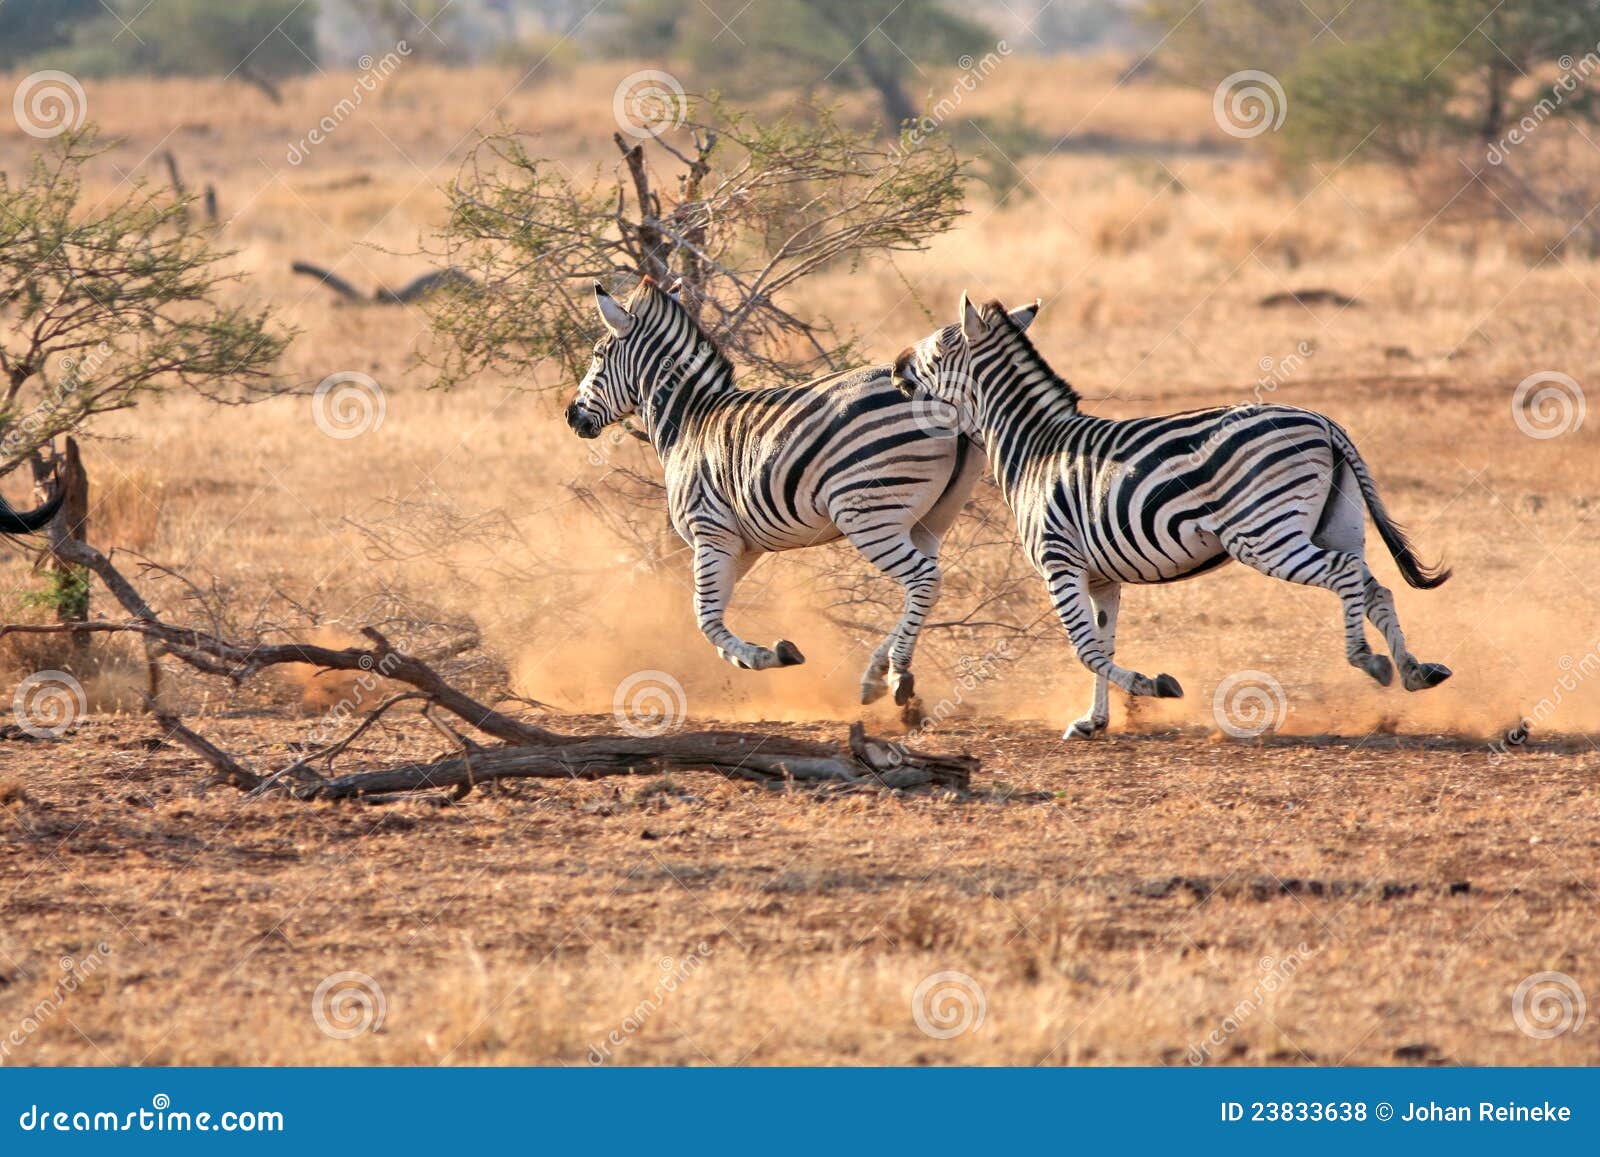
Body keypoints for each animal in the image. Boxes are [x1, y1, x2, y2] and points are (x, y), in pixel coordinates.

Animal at [564, 277, 1040, 705]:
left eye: (598, 354)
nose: (571, 416)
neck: (689, 422)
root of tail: (945, 400)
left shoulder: (710, 533)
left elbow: (705, 618)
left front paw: (766, 656)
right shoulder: (743, 546)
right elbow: (708, 616)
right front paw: (754, 656)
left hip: (866, 514)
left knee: (924, 578)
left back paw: (899, 675)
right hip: (931, 518)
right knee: (925, 585)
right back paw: (878, 672)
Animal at [892, 293, 1452, 739]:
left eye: (937, 350)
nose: (895, 368)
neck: (1034, 448)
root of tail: (1324, 423)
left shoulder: (1058, 560)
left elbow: (1085, 649)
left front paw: (1152, 685)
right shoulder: (1101, 577)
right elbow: (1103, 643)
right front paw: (1094, 721)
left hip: (1264, 535)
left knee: (1345, 576)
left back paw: (1368, 659)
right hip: (1337, 525)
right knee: (1374, 587)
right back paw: (1414, 670)